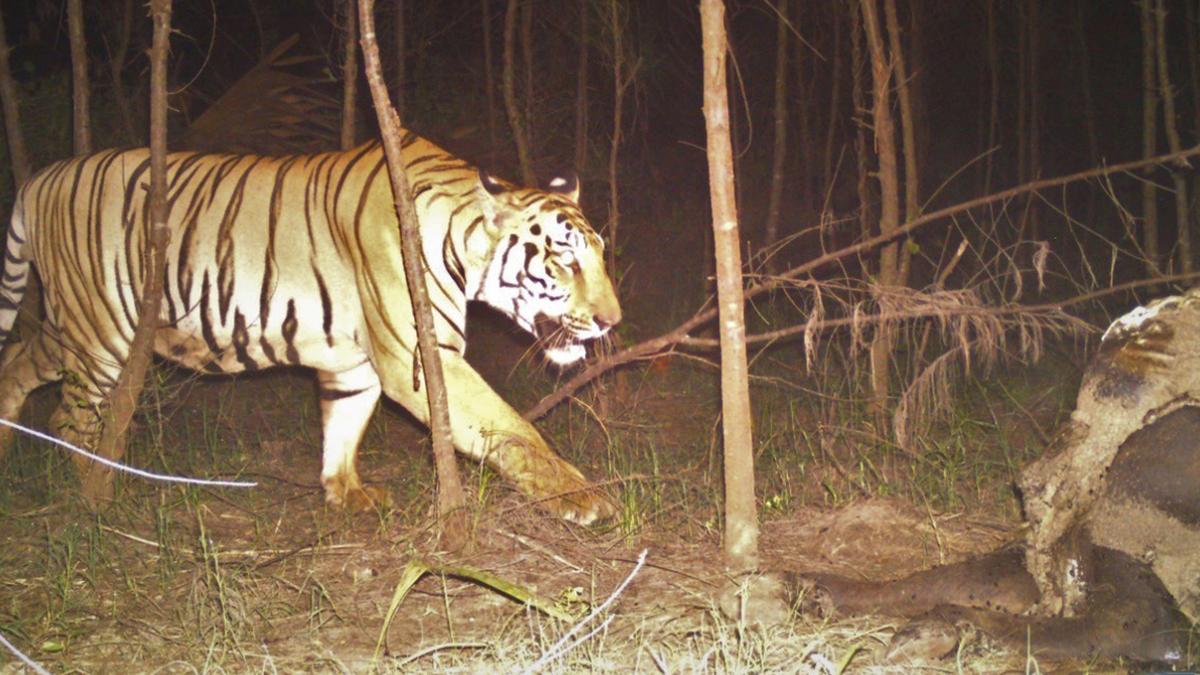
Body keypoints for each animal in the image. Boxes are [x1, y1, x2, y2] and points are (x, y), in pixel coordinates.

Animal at [0, 130, 621, 525]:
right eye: (565, 260)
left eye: (600, 255)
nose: (612, 321)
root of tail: (39, 179)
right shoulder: (422, 358)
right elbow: (513, 427)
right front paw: (583, 497)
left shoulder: (356, 362)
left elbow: (343, 427)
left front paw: (346, 494)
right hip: (102, 333)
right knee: (69, 418)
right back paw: (93, 493)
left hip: (74, 327)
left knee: (16, 362)